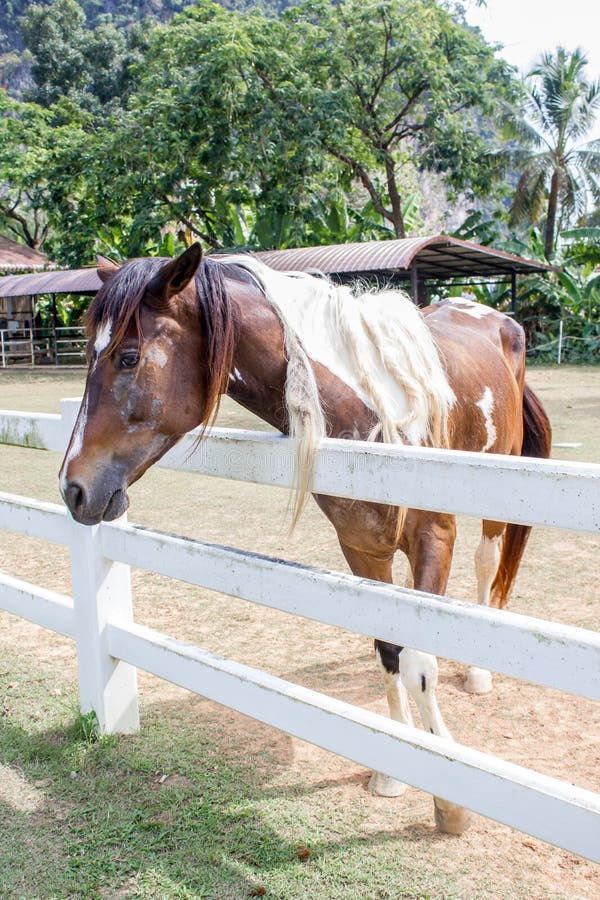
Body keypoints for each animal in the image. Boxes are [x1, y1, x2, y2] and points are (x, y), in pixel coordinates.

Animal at [59, 243, 552, 836]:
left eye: (128, 358)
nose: (73, 488)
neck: (373, 413)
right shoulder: (361, 547)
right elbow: (390, 651)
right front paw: (393, 773)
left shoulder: (434, 537)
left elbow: (420, 665)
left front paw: (449, 803)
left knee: (486, 566)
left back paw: (479, 673)